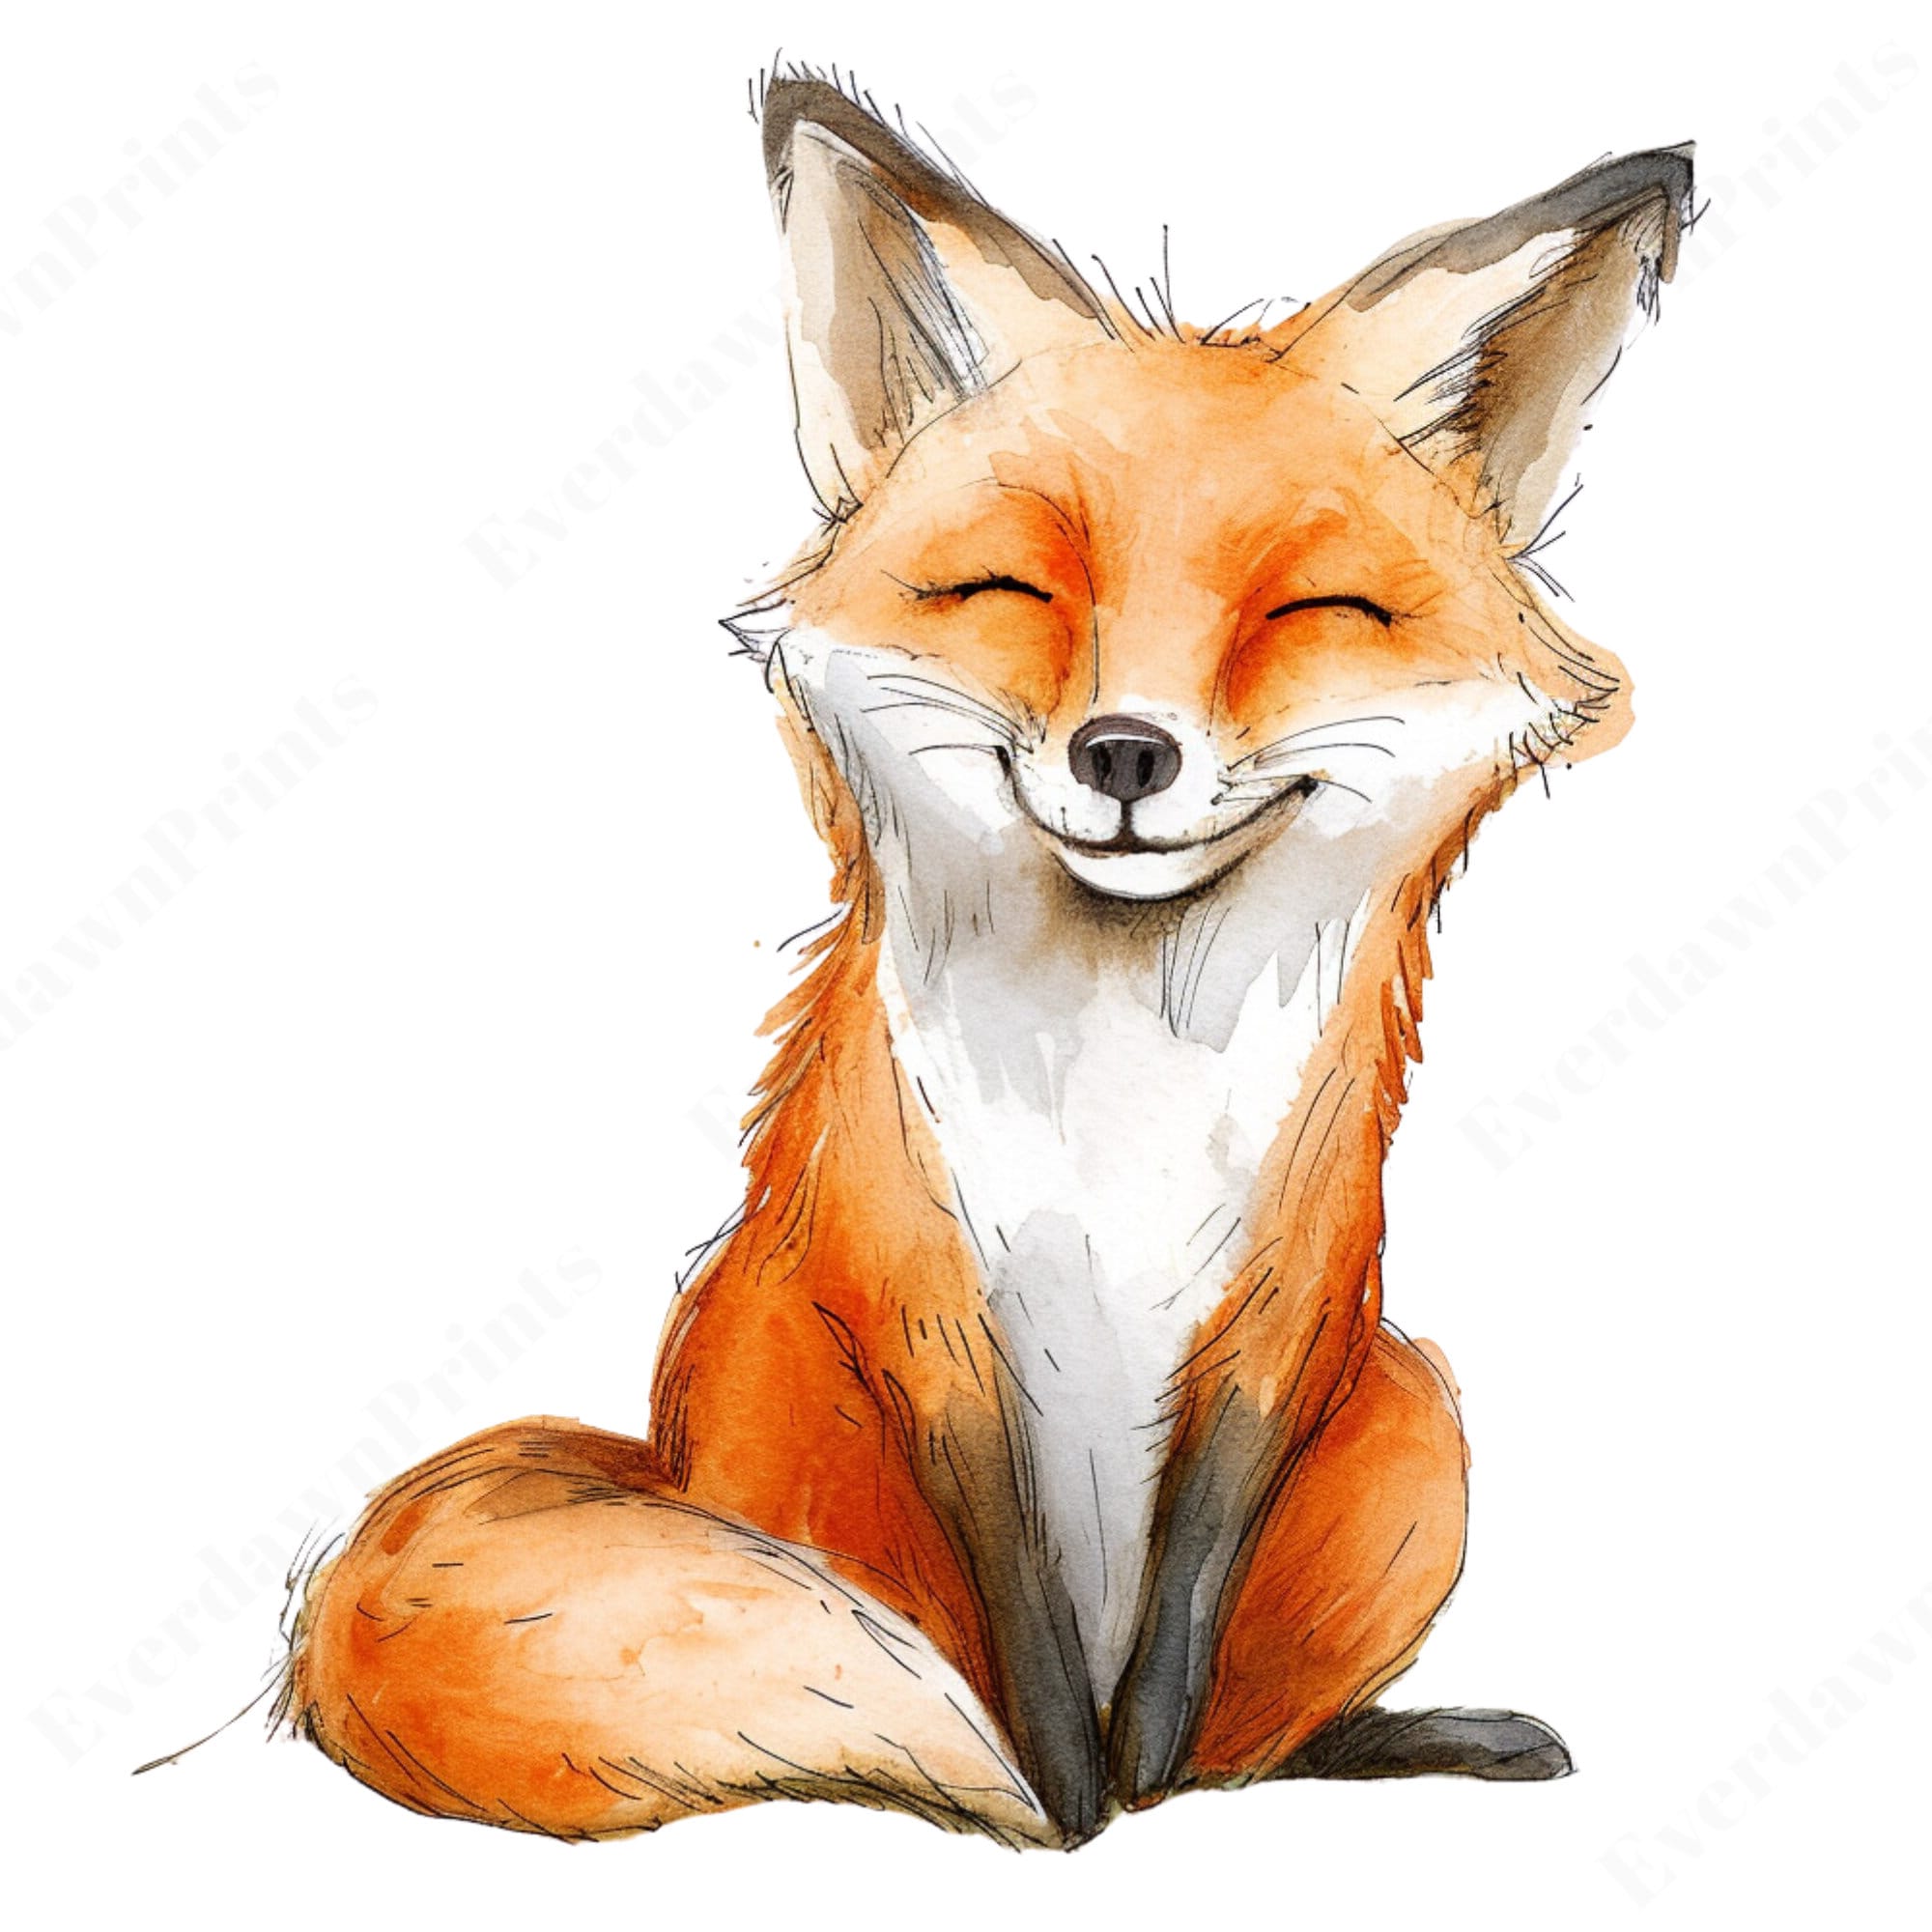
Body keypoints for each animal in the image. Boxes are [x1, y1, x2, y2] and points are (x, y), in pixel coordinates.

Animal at [287, 71, 1694, 1848]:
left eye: (1310, 611)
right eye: (1013, 586)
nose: (1125, 753)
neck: (1118, 1100)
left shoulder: (1281, 1314)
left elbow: (1185, 1610)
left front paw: (1135, 1788)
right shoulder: (924, 1305)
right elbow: (1014, 1634)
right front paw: (1064, 1808)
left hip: (1417, 1423)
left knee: (1263, 1734)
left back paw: (1372, 1745)